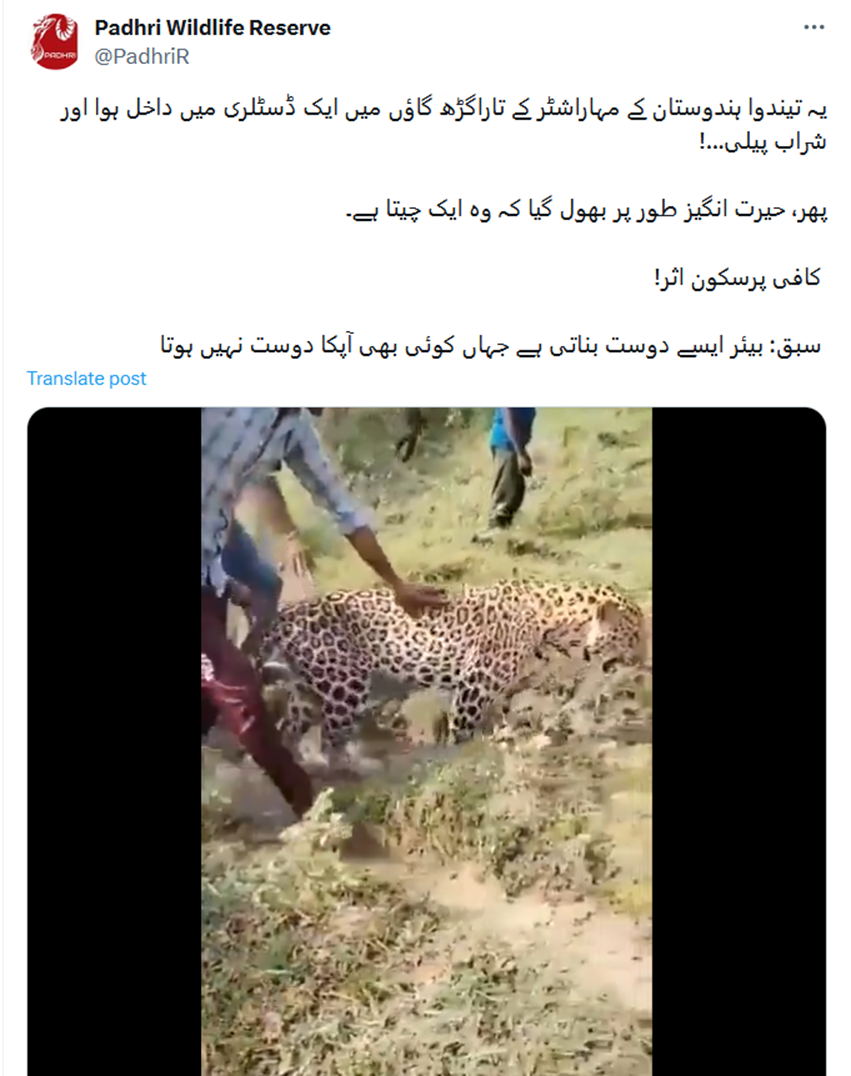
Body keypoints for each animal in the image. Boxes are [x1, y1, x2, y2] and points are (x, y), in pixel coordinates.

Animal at [256, 579, 649, 766]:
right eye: (634, 635)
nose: (645, 659)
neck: (556, 622)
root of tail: (283, 615)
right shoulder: (476, 683)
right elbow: (462, 728)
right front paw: (461, 757)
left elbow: (524, 713)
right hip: (345, 686)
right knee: (330, 738)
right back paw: (356, 769)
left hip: (308, 691)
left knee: (288, 729)